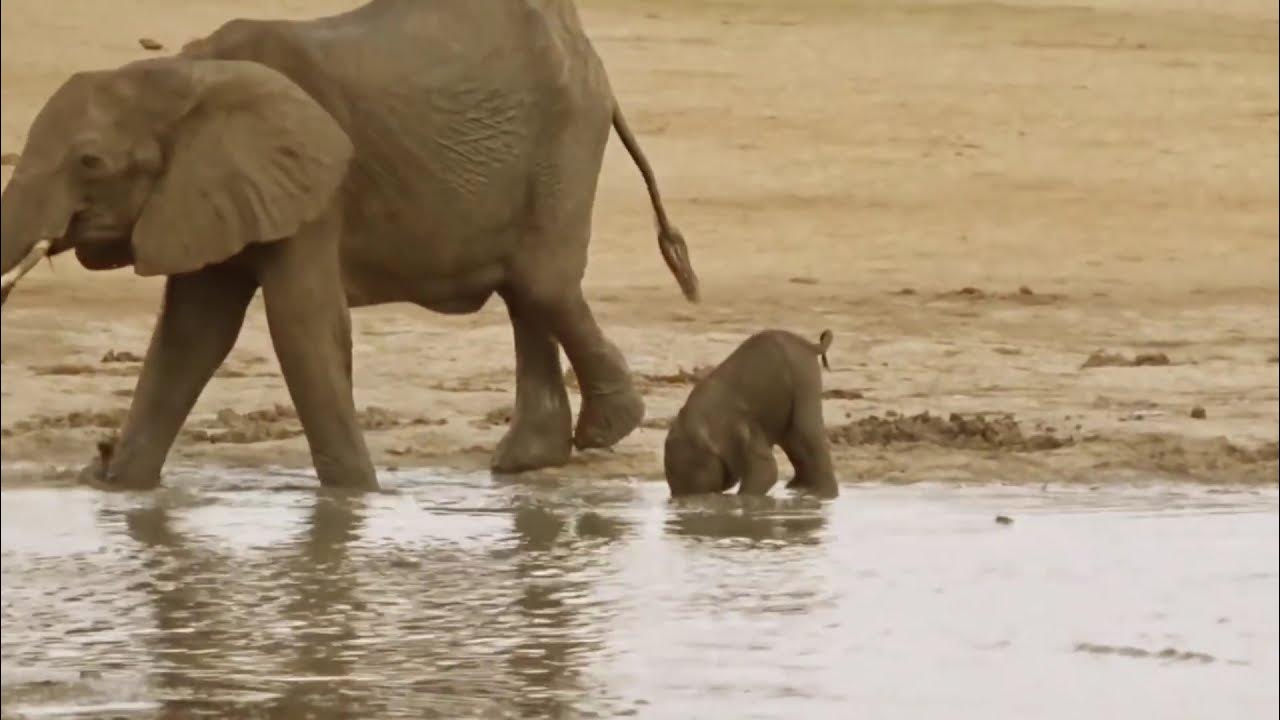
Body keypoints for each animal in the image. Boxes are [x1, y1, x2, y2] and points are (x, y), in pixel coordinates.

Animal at [0, 0, 699, 491]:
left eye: (90, 162)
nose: (98, 460)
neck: (185, 71)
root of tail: (587, 52)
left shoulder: (310, 185)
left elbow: (302, 325)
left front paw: (356, 500)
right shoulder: (206, 191)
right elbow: (191, 335)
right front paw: (118, 488)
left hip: (566, 136)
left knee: (540, 282)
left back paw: (604, 430)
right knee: (524, 290)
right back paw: (527, 462)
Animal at [663, 330, 838, 498]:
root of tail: (809, 345)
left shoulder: (733, 426)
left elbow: (767, 470)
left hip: (803, 377)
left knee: (806, 432)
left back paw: (820, 494)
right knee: (794, 441)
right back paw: (799, 489)